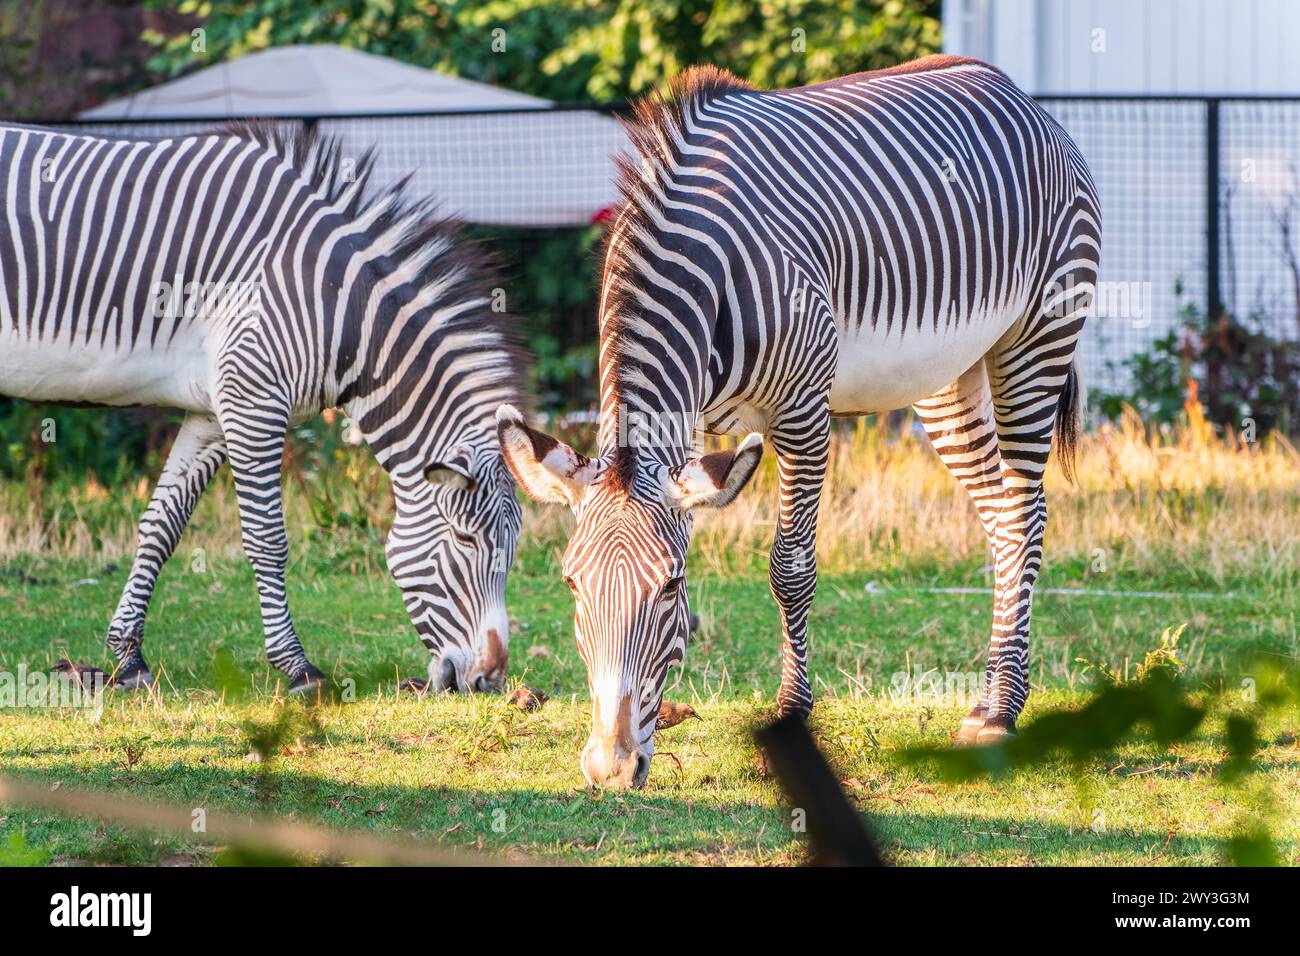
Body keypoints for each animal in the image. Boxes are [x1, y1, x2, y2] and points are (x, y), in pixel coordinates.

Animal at [0, 121, 526, 695]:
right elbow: (268, 540)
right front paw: (297, 668)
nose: (491, 680)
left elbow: (161, 527)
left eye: (513, 548)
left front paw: (128, 658)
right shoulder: (251, 402)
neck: (330, 306)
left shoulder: (212, 410)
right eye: (466, 539)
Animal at [497, 55, 1101, 787]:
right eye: (570, 583)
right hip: (948, 376)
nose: (611, 769)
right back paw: (990, 699)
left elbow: (790, 568)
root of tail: (1010, 87)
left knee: (1024, 511)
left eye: (670, 586)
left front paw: (791, 717)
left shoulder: (804, 411)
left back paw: (1000, 712)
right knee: (1001, 514)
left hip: (1037, 337)